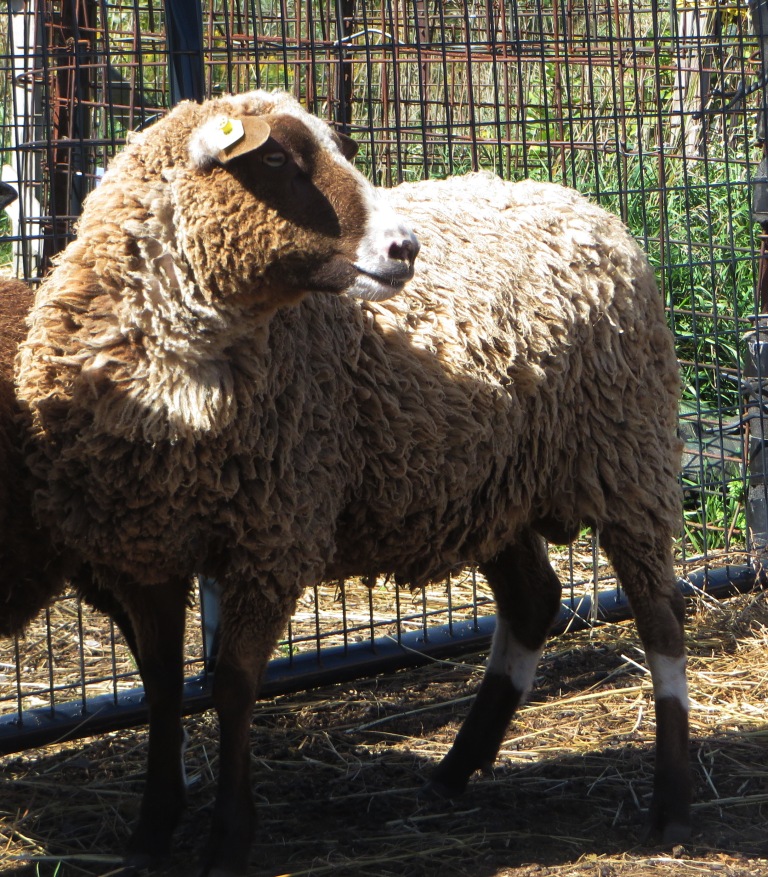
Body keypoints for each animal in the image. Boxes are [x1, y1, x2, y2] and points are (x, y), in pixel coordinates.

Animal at [14, 88, 690, 875]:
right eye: (276, 158)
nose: (406, 248)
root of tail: (579, 204)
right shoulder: (143, 546)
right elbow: (161, 687)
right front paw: (152, 830)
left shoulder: (274, 534)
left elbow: (233, 684)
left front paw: (228, 836)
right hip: (488, 483)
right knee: (533, 601)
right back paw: (455, 768)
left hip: (628, 455)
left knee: (660, 616)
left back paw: (669, 804)